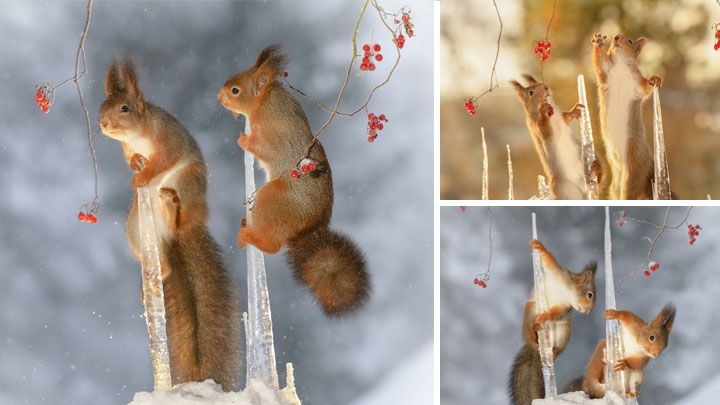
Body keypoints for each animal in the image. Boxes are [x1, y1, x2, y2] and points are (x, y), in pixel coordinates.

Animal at [99, 58, 241, 391]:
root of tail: (175, 234)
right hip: (136, 228)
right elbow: (131, 158)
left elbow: (162, 161)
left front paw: (142, 175)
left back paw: (172, 206)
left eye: (124, 108)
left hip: (187, 183)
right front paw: (134, 165)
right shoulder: (128, 148)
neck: (138, 133)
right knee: (165, 267)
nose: (103, 124)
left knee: (180, 214)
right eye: (102, 105)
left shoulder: (169, 142)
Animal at [216, 44, 370, 316]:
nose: (218, 96)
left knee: (273, 245)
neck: (267, 103)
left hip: (273, 199)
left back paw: (249, 237)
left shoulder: (276, 137)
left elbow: (263, 148)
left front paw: (244, 140)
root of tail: (307, 229)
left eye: (235, 90)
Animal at [508, 239, 597, 405]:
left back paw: (554, 351)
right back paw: (534, 331)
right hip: (532, 308)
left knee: (559, 348)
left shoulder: (564, 307)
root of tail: (538, 348)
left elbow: (555, 313)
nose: (588, 311)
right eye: (590, 295)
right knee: (530, 330)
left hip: (564, 331)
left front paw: (546, 315)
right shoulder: (556, 272)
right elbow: (549, 260)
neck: (567, 292)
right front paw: (539, 247)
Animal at [592, 33, 662, 200]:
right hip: (615, 185)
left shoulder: (637, 85)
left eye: (630, 41)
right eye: (613, 39)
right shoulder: (606, 71)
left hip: (633, 168)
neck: (621, 66)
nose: (616, 37)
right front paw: (598, 41)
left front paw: (655, 79)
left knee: (629, 191)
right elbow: (599, 62)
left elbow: (645, 87)